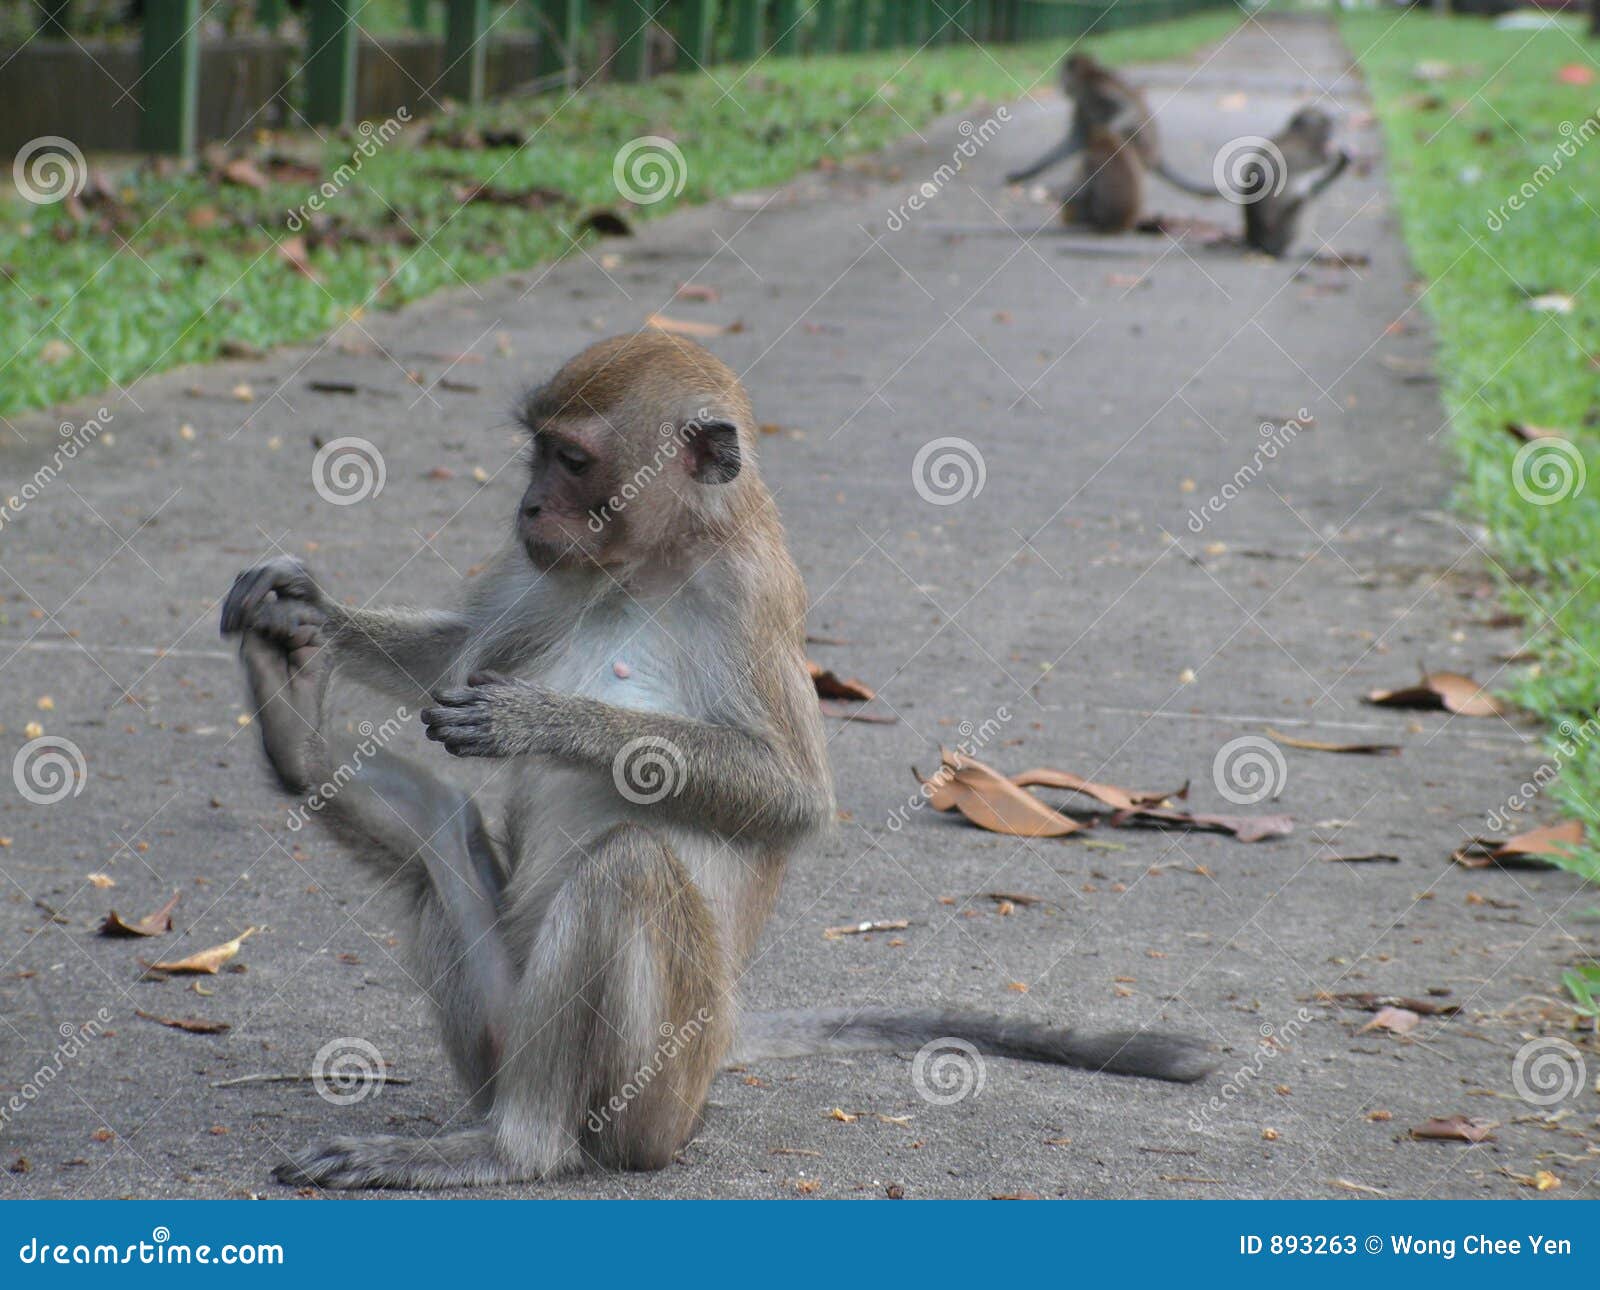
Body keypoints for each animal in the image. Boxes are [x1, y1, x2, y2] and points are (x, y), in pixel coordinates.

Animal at [220, 332, 1214, 1190]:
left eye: (571, 460)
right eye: (537, 453)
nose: (526, 508)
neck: (657, 562)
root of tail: (717, 1052)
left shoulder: (752, 597)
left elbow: (796, 798)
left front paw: (542, 718)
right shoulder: (547, 571)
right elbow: (456, 656)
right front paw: (309, 614)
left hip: (656, 1091)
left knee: (627, 872)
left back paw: (513, 1148)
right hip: (505, 1032)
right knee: (442, 839)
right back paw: (296, 735)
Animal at [1006, 53, 1217, 198]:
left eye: (1062, 76)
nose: (1060, 83)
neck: (1088, 78)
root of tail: (1155, 156)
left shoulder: (1096, 88)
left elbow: (1129, 110)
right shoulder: (1082, 102)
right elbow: (1076, 140)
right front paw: (1025, 173)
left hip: (1140, 148)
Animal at [1236, 106, 1350, 258]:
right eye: (1327, 127)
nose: (1331, 136)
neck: (1298, 135)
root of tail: (1257, 241)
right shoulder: (1303, 155)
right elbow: (1319, 165)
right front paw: (1337, 160)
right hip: (1283, 232)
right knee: (1305, 199)